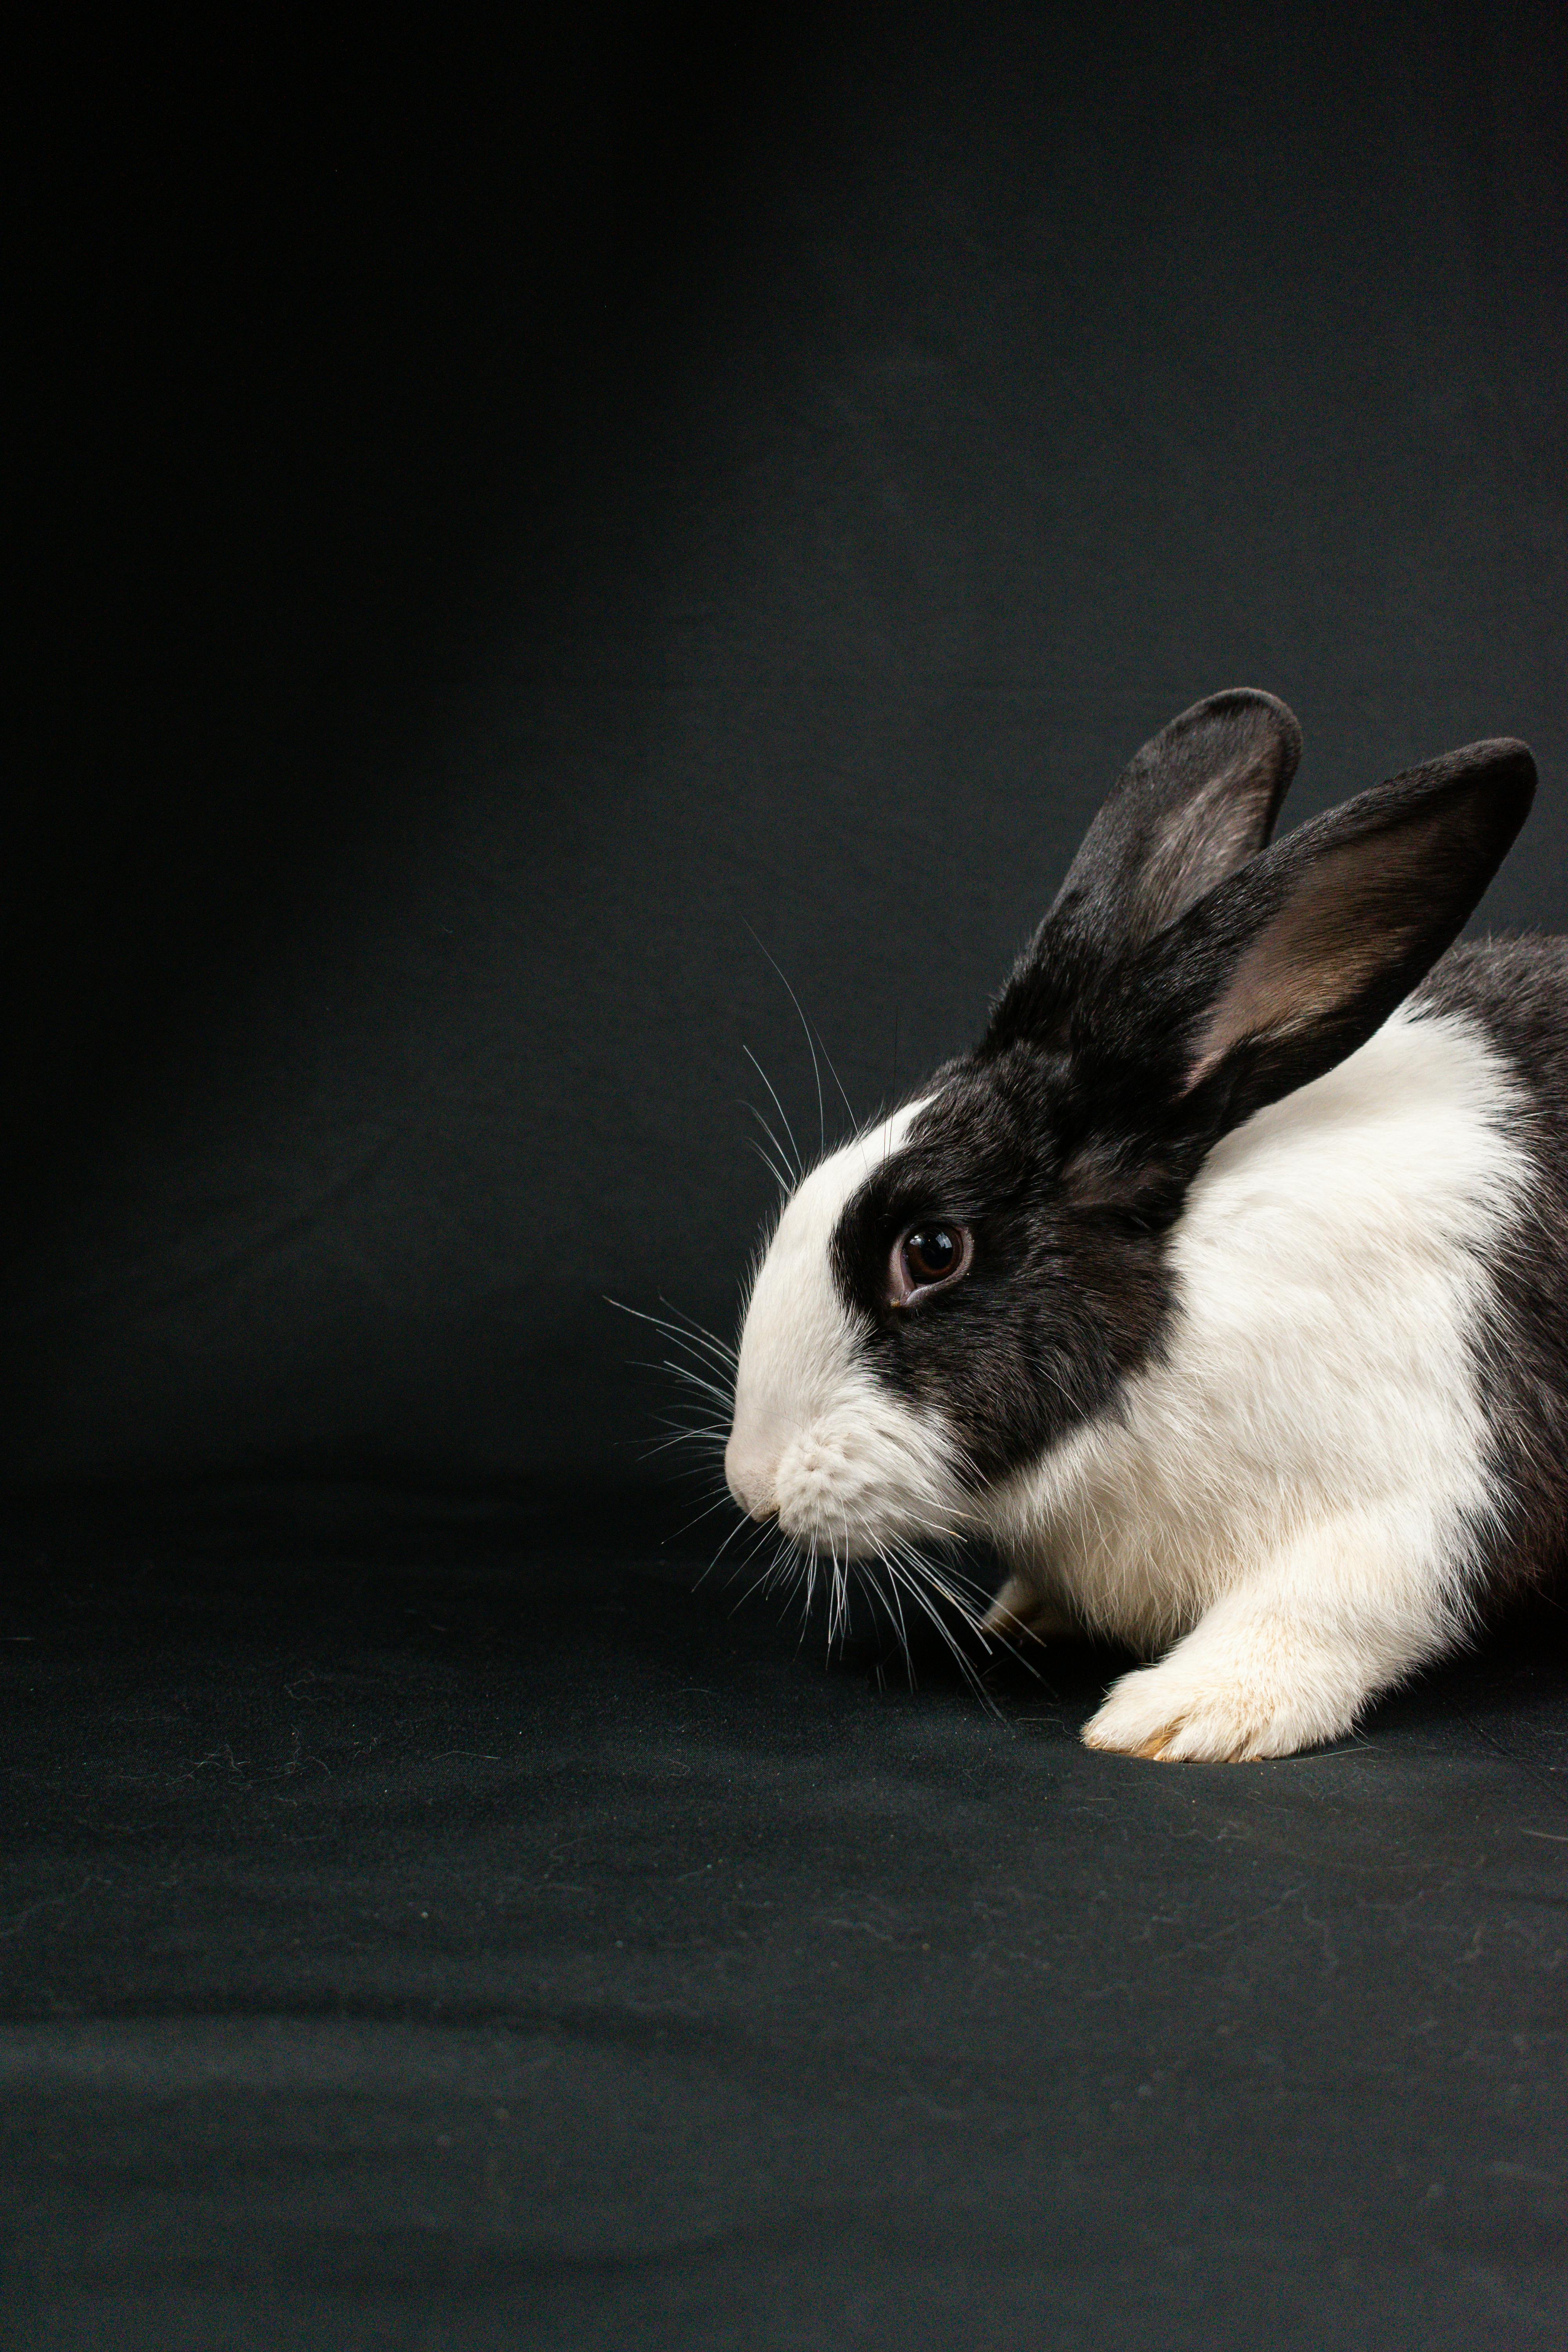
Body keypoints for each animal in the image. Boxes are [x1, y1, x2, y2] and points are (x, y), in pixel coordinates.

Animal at [722, 689, 1562, 1760]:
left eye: (931, 1252)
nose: (751, 1487)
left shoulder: (1411, 1501)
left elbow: (1325, 1610)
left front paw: (1181, 1715)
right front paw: (1021, 1616)